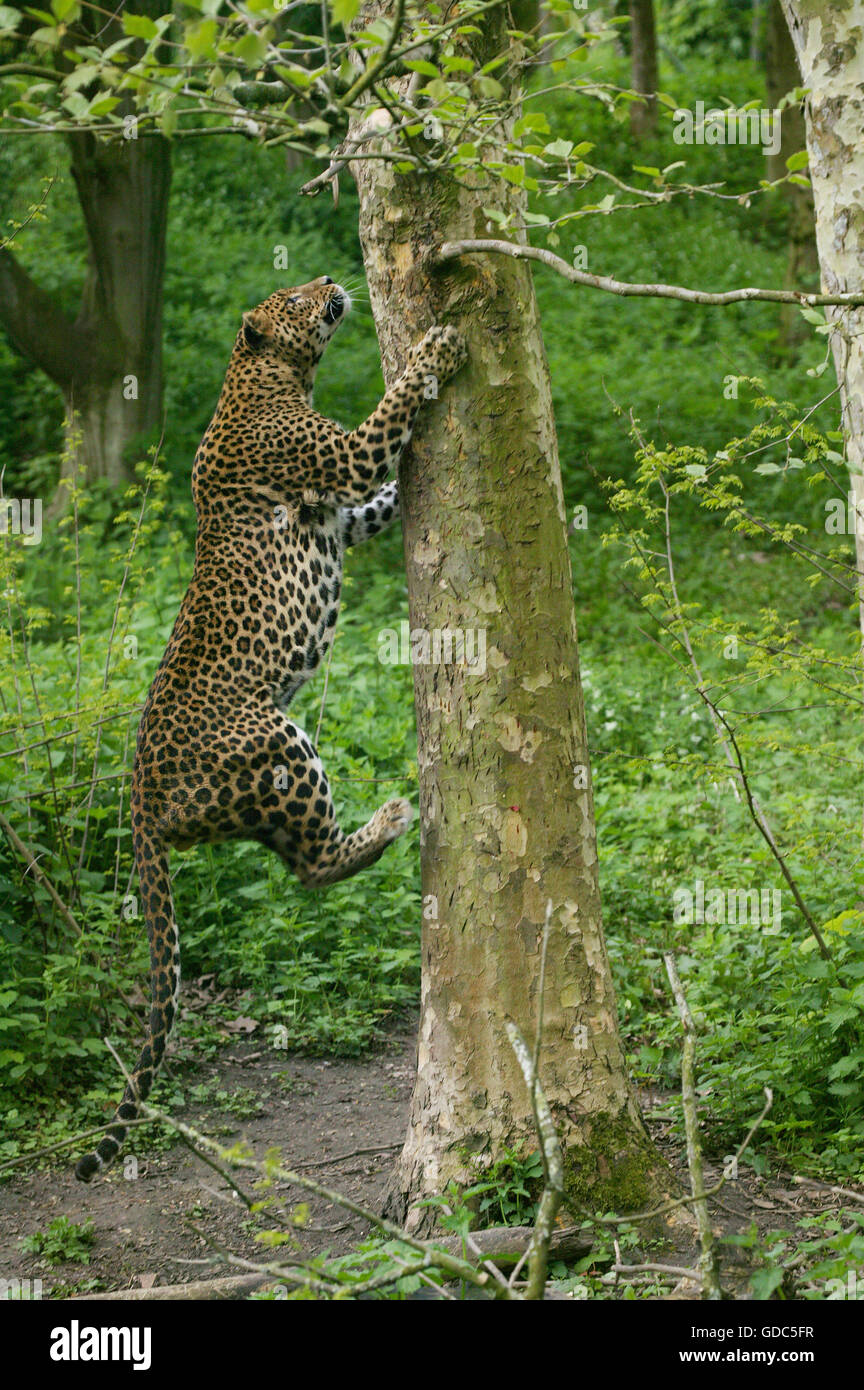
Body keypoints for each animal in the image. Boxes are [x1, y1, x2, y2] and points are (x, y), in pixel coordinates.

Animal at [75, 275, 467, 1181]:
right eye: (294, 295)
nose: (332, 282)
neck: (262, 373)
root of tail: (136, 794)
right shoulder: (342, 458)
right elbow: (391, 412)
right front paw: (435, 347)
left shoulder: (347, 512)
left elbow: (380, 501)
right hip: (276, 741)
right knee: (314, 868)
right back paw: (392, 816)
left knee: (296, 864)